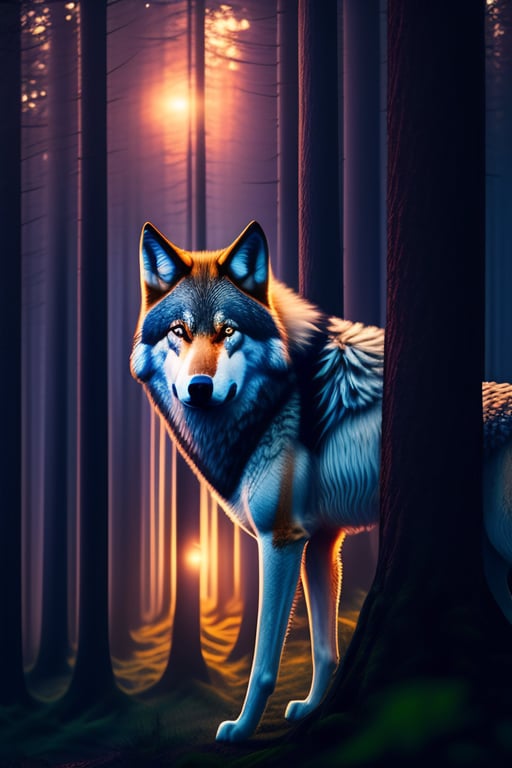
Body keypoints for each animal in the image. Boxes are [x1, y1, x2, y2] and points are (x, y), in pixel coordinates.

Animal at [131, 220, 512, 743]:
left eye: (228, 331)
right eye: (178, 332)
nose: (200, 388)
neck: (276, 398)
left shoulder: (280, 541)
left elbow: (265, 660)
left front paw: (242, 729)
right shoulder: (321, 542)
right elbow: (325, 649)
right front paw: (314, 709)